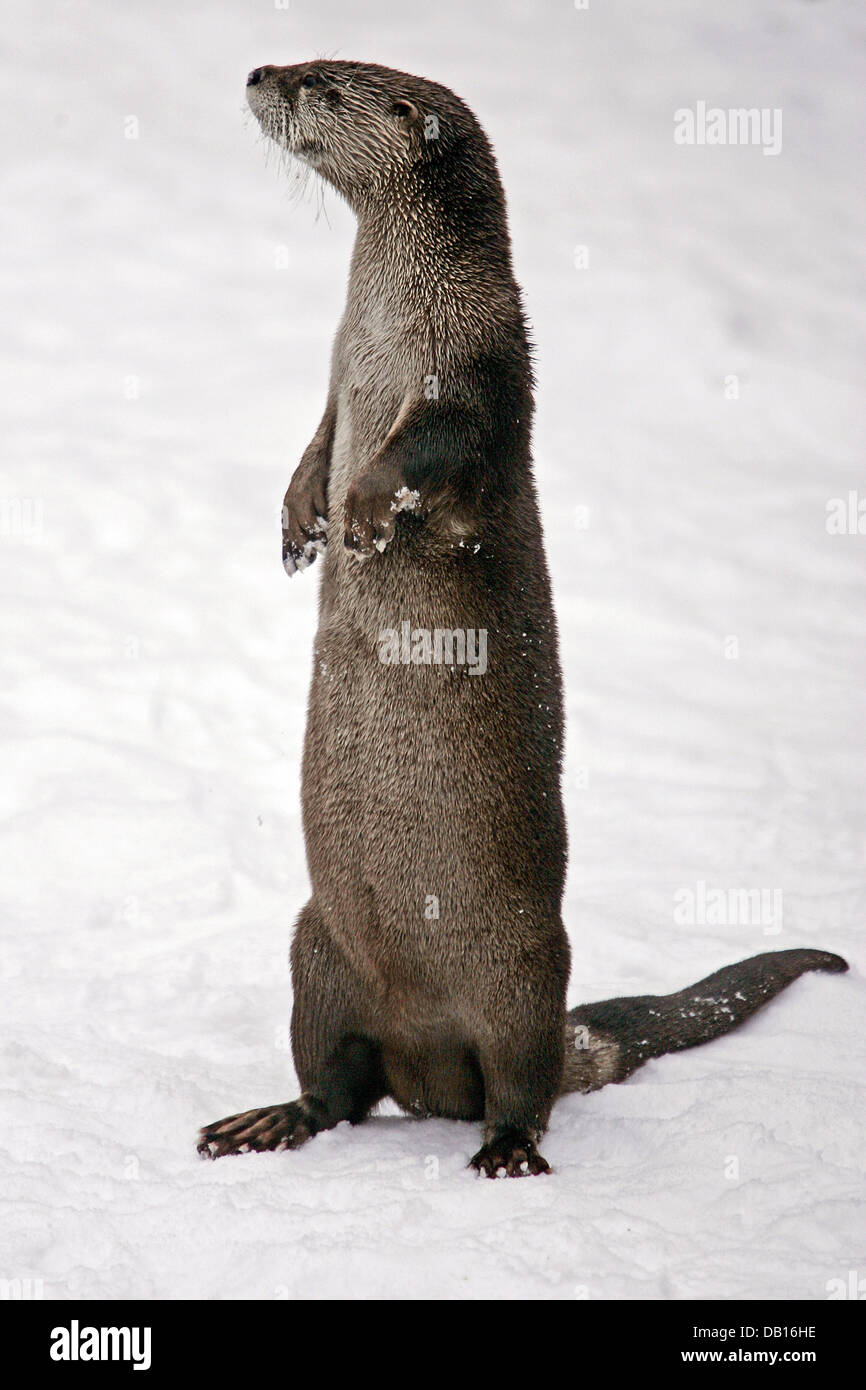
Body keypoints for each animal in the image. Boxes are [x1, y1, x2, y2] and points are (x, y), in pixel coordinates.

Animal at [198, 61, 848, 1176]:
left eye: (321, 82)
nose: (258, 73)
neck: (388, 327)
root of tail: (426, 1063)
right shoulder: (337, 372)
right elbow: (319, 434)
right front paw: (298, 515)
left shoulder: (478, 374)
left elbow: (430, 450)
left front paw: (362, 510)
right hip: (313, 947)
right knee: (334, 1085)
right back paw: (269, 1120)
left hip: (523, 971)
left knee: (519, 1085)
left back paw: (505, 1149)